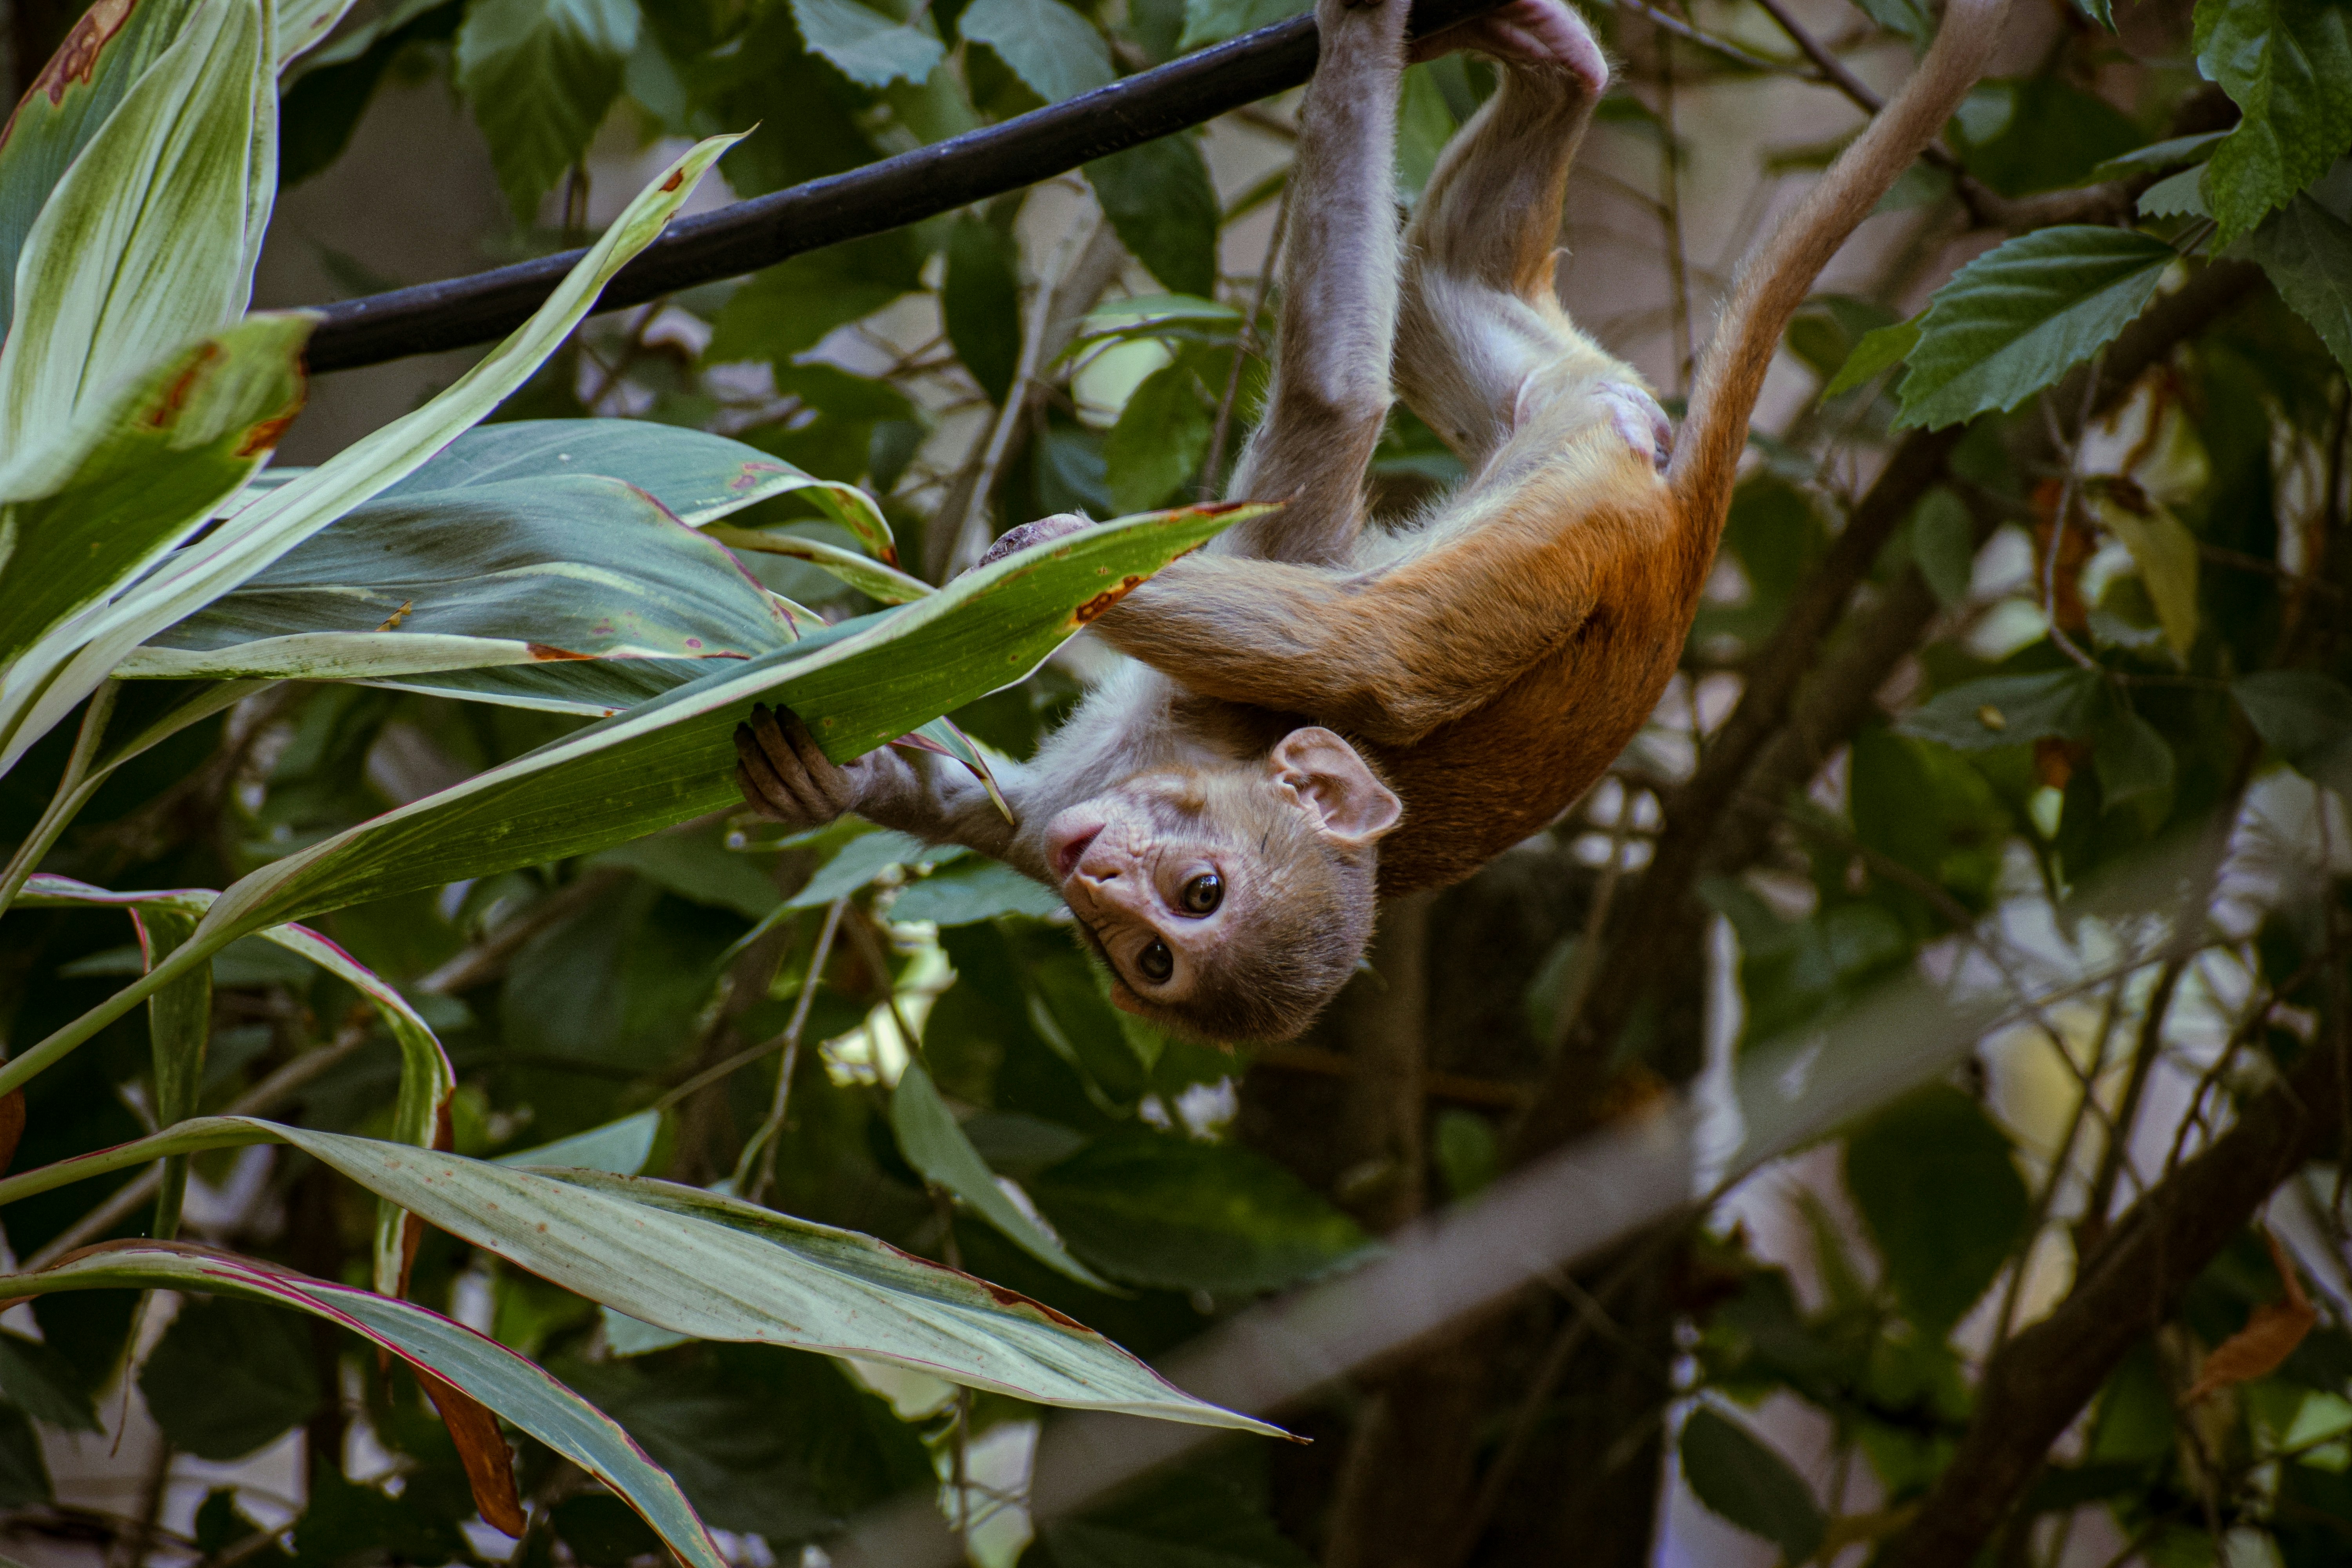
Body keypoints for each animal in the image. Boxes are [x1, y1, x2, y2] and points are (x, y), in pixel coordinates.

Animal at [736, 0, 2009, 1041]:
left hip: (1572, 519)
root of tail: (1685, 528)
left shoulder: (1087, 795)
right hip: (1581, 428)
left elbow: (1331, 410)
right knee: (1443, 295)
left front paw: (870, 730)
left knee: (1385, 655)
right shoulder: (1146, 758)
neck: (1192, 756)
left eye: (1169, 939)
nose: (1099, 881)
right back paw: (1556, 72)